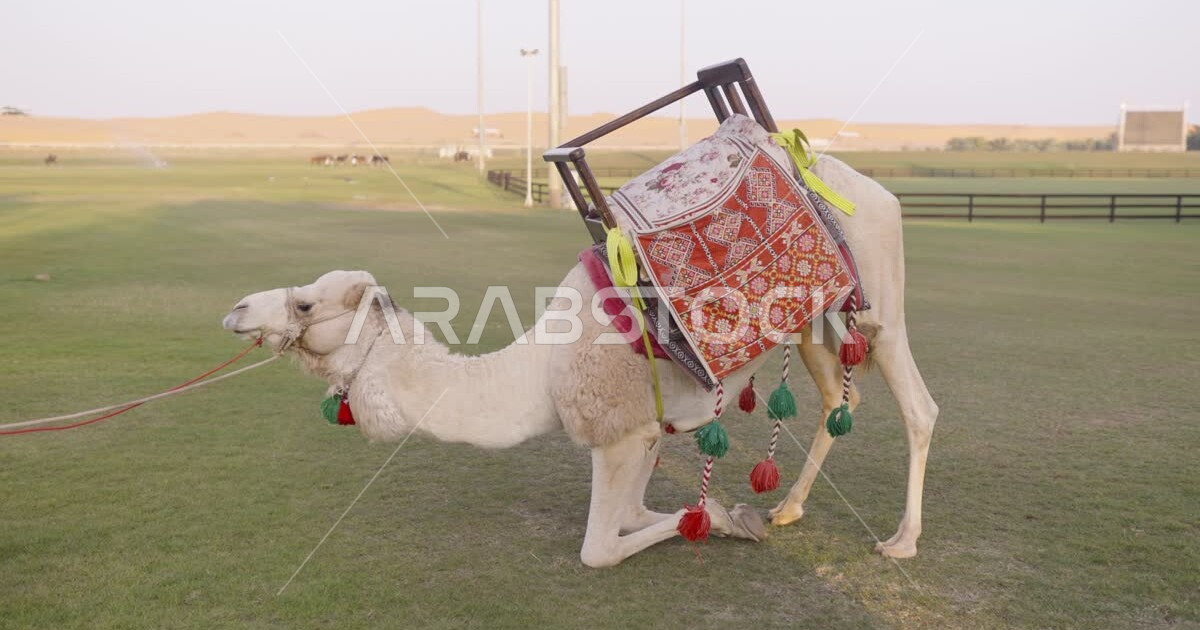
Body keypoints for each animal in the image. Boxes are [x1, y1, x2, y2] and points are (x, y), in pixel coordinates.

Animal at [221, 155, 938, 567]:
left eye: (306, 304)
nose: (237, 310)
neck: (536, 375)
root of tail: (874, 189)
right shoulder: (649, 426)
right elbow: (636, 514)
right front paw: (734, 517)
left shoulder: (613, 433)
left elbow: (599, 549)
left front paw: (725, 518)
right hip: (817, 328)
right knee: (840, 399)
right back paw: (787, 508)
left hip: (879, 300)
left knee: (918, 407)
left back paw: (901, 540)